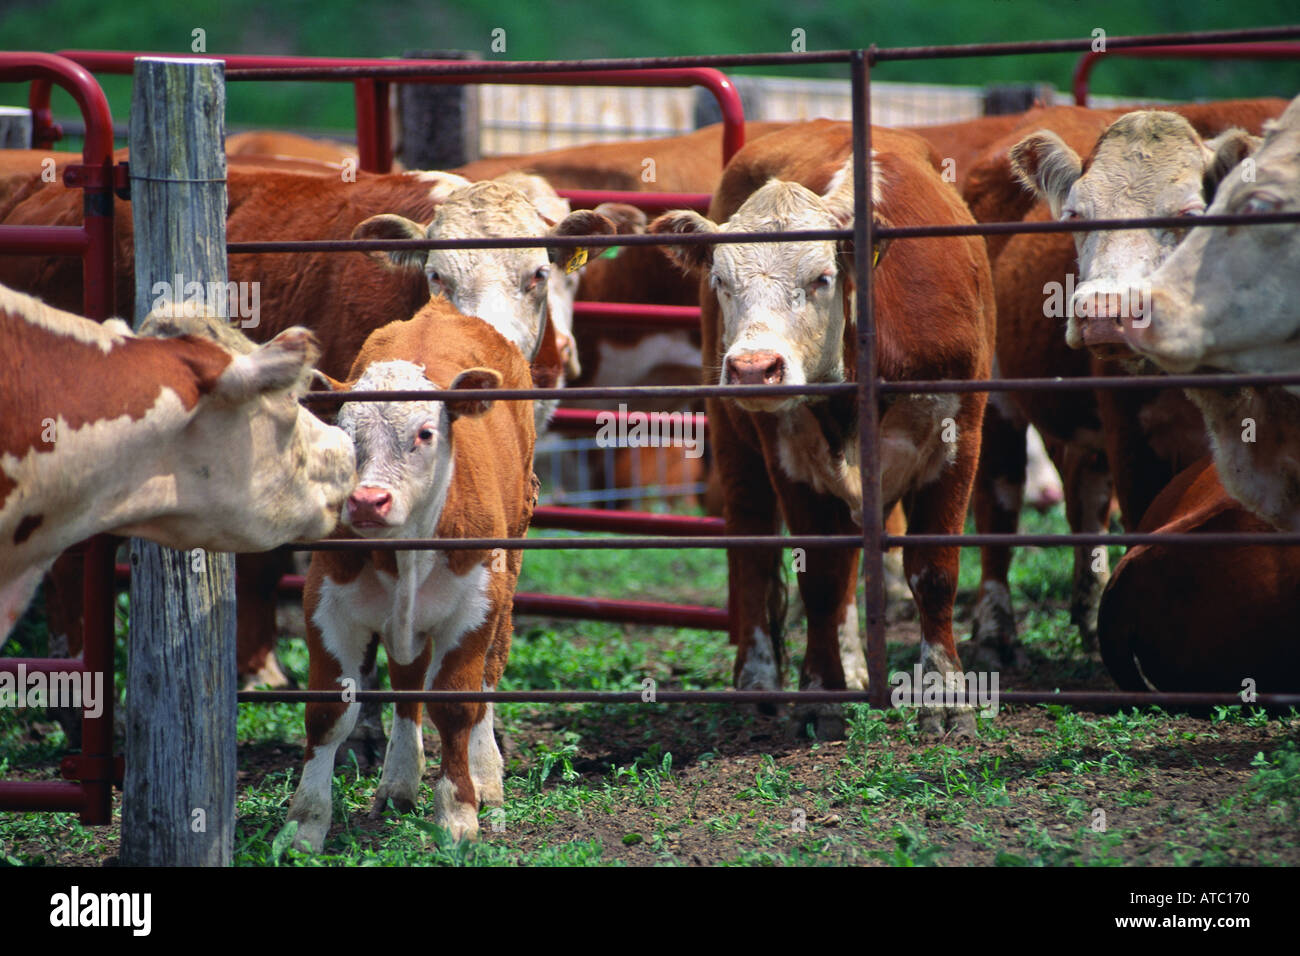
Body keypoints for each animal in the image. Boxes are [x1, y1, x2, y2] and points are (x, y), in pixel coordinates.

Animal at [280, 297, 536, 850]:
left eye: (424, 433)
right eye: (343, 434)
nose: (366, 500)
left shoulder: (474, 608)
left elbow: (457, 706)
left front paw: (458, 814)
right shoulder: (326, 608)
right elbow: (328, 714)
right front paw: (305, 825)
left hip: (507, 578)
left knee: (489, 675)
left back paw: (488, 780)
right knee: (407, 682)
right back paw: (399, 782)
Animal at [649, 119, 995, 738]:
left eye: (822, 278)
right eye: (721, 280)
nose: (752, 368)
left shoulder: (960, 439)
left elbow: (933, 571)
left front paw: (946, 696)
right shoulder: (790, 458)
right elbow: (820, 580)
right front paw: (819, 694)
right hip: (734, 439)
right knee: (754, 545)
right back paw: (759, 679)